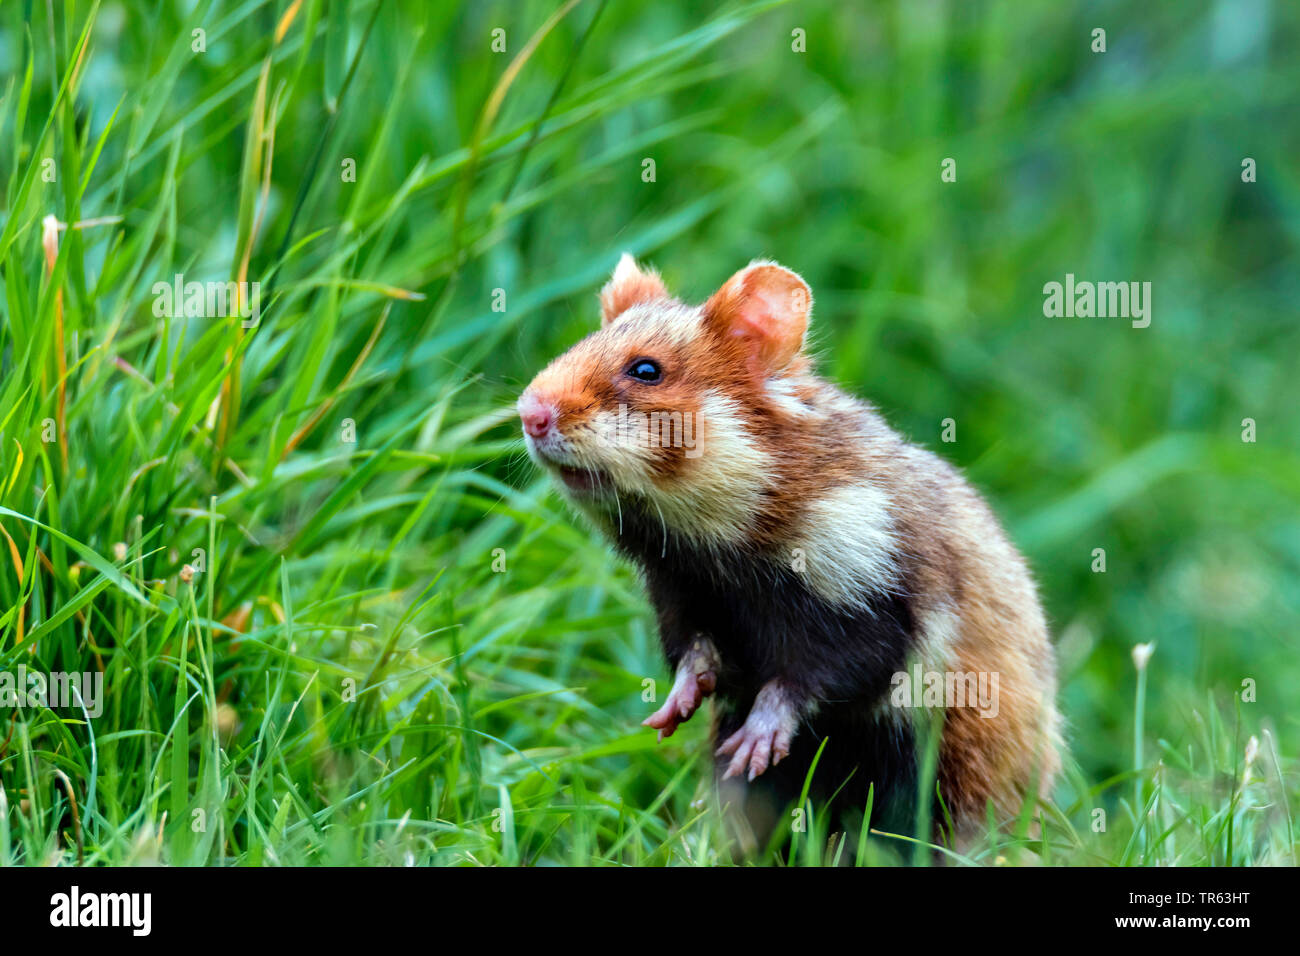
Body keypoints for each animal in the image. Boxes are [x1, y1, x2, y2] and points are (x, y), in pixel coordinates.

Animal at [517, 254, 1063, 852]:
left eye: (645, 370)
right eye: (583, 341)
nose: (530, 412)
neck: (716, 551)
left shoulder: (872, 606)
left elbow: (807, 680)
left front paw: (754, 743)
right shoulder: (681, 596)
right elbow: (695, 656)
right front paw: (670, 713)